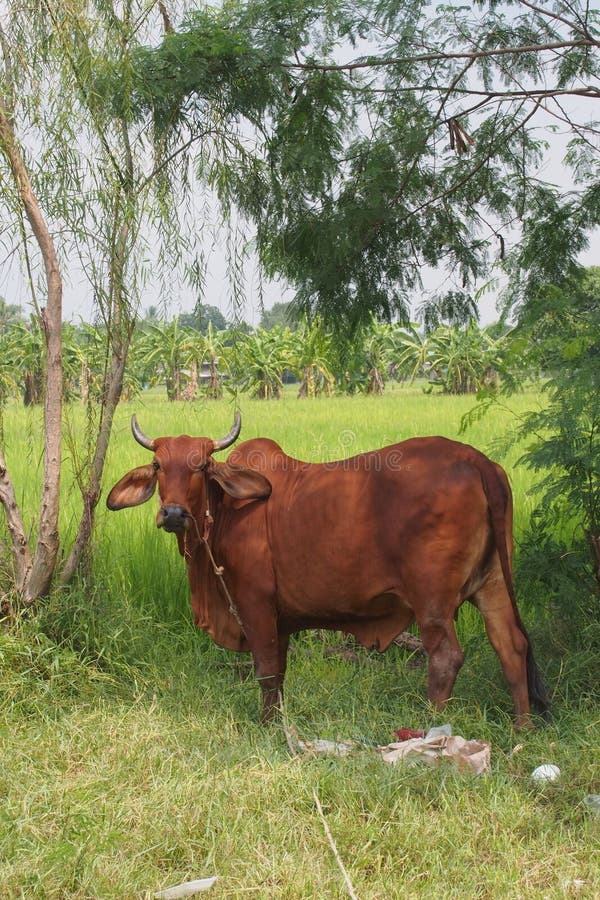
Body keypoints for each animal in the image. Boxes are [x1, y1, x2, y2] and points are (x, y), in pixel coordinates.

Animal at [106, 412, 549, 729]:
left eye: (201, 466)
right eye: (157, 465)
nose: (173, 514)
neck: (227, 510)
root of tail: (476, 460)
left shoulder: (254, 603)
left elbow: (266, 671)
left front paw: (267, 728)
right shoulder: (279, 618)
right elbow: (279, 672)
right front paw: (277, 721)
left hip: (432, 601)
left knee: (445, 658)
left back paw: (430, 729)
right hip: (493, 582)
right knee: (511, 645)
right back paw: (522, 731)